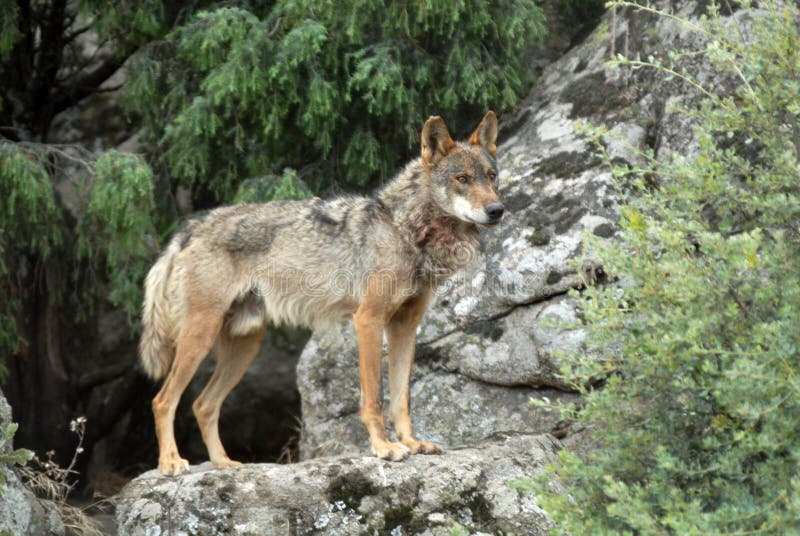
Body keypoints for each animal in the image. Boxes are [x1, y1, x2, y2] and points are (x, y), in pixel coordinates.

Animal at [139, 112, 504, 475]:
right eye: (462, 178)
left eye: (491, 177)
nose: (497, 210)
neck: (405, 230)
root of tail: (192, 226)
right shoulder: (368, 321)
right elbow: (374, 397)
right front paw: (384, 448)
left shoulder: (405, 326)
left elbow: (401, 398)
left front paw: (413, 443)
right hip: (200, 337)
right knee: (162, 400)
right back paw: (170, 462)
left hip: (246, 345)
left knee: (203, 404)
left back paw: (224, 464)